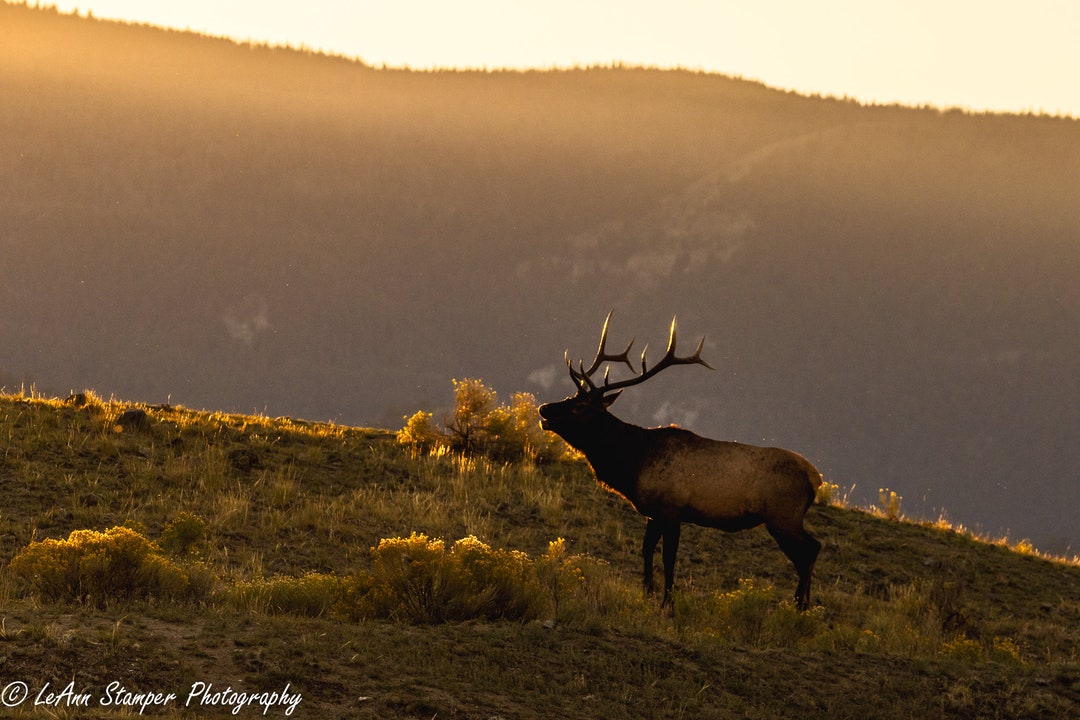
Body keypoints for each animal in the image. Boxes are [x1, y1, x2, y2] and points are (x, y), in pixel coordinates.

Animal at [538, 311, 823, 610]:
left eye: (580, 407)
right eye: (571, 397)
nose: (544, 408)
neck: (633, 462)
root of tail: (816, 478)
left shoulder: (671, 509)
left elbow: (669, 557)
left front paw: (668, 603)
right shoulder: (653, 512)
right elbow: (646, 549)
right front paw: (647, 593)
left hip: (783, 516)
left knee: (810, 550)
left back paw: (799, 606)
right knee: (809, 551)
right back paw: (804, 606)